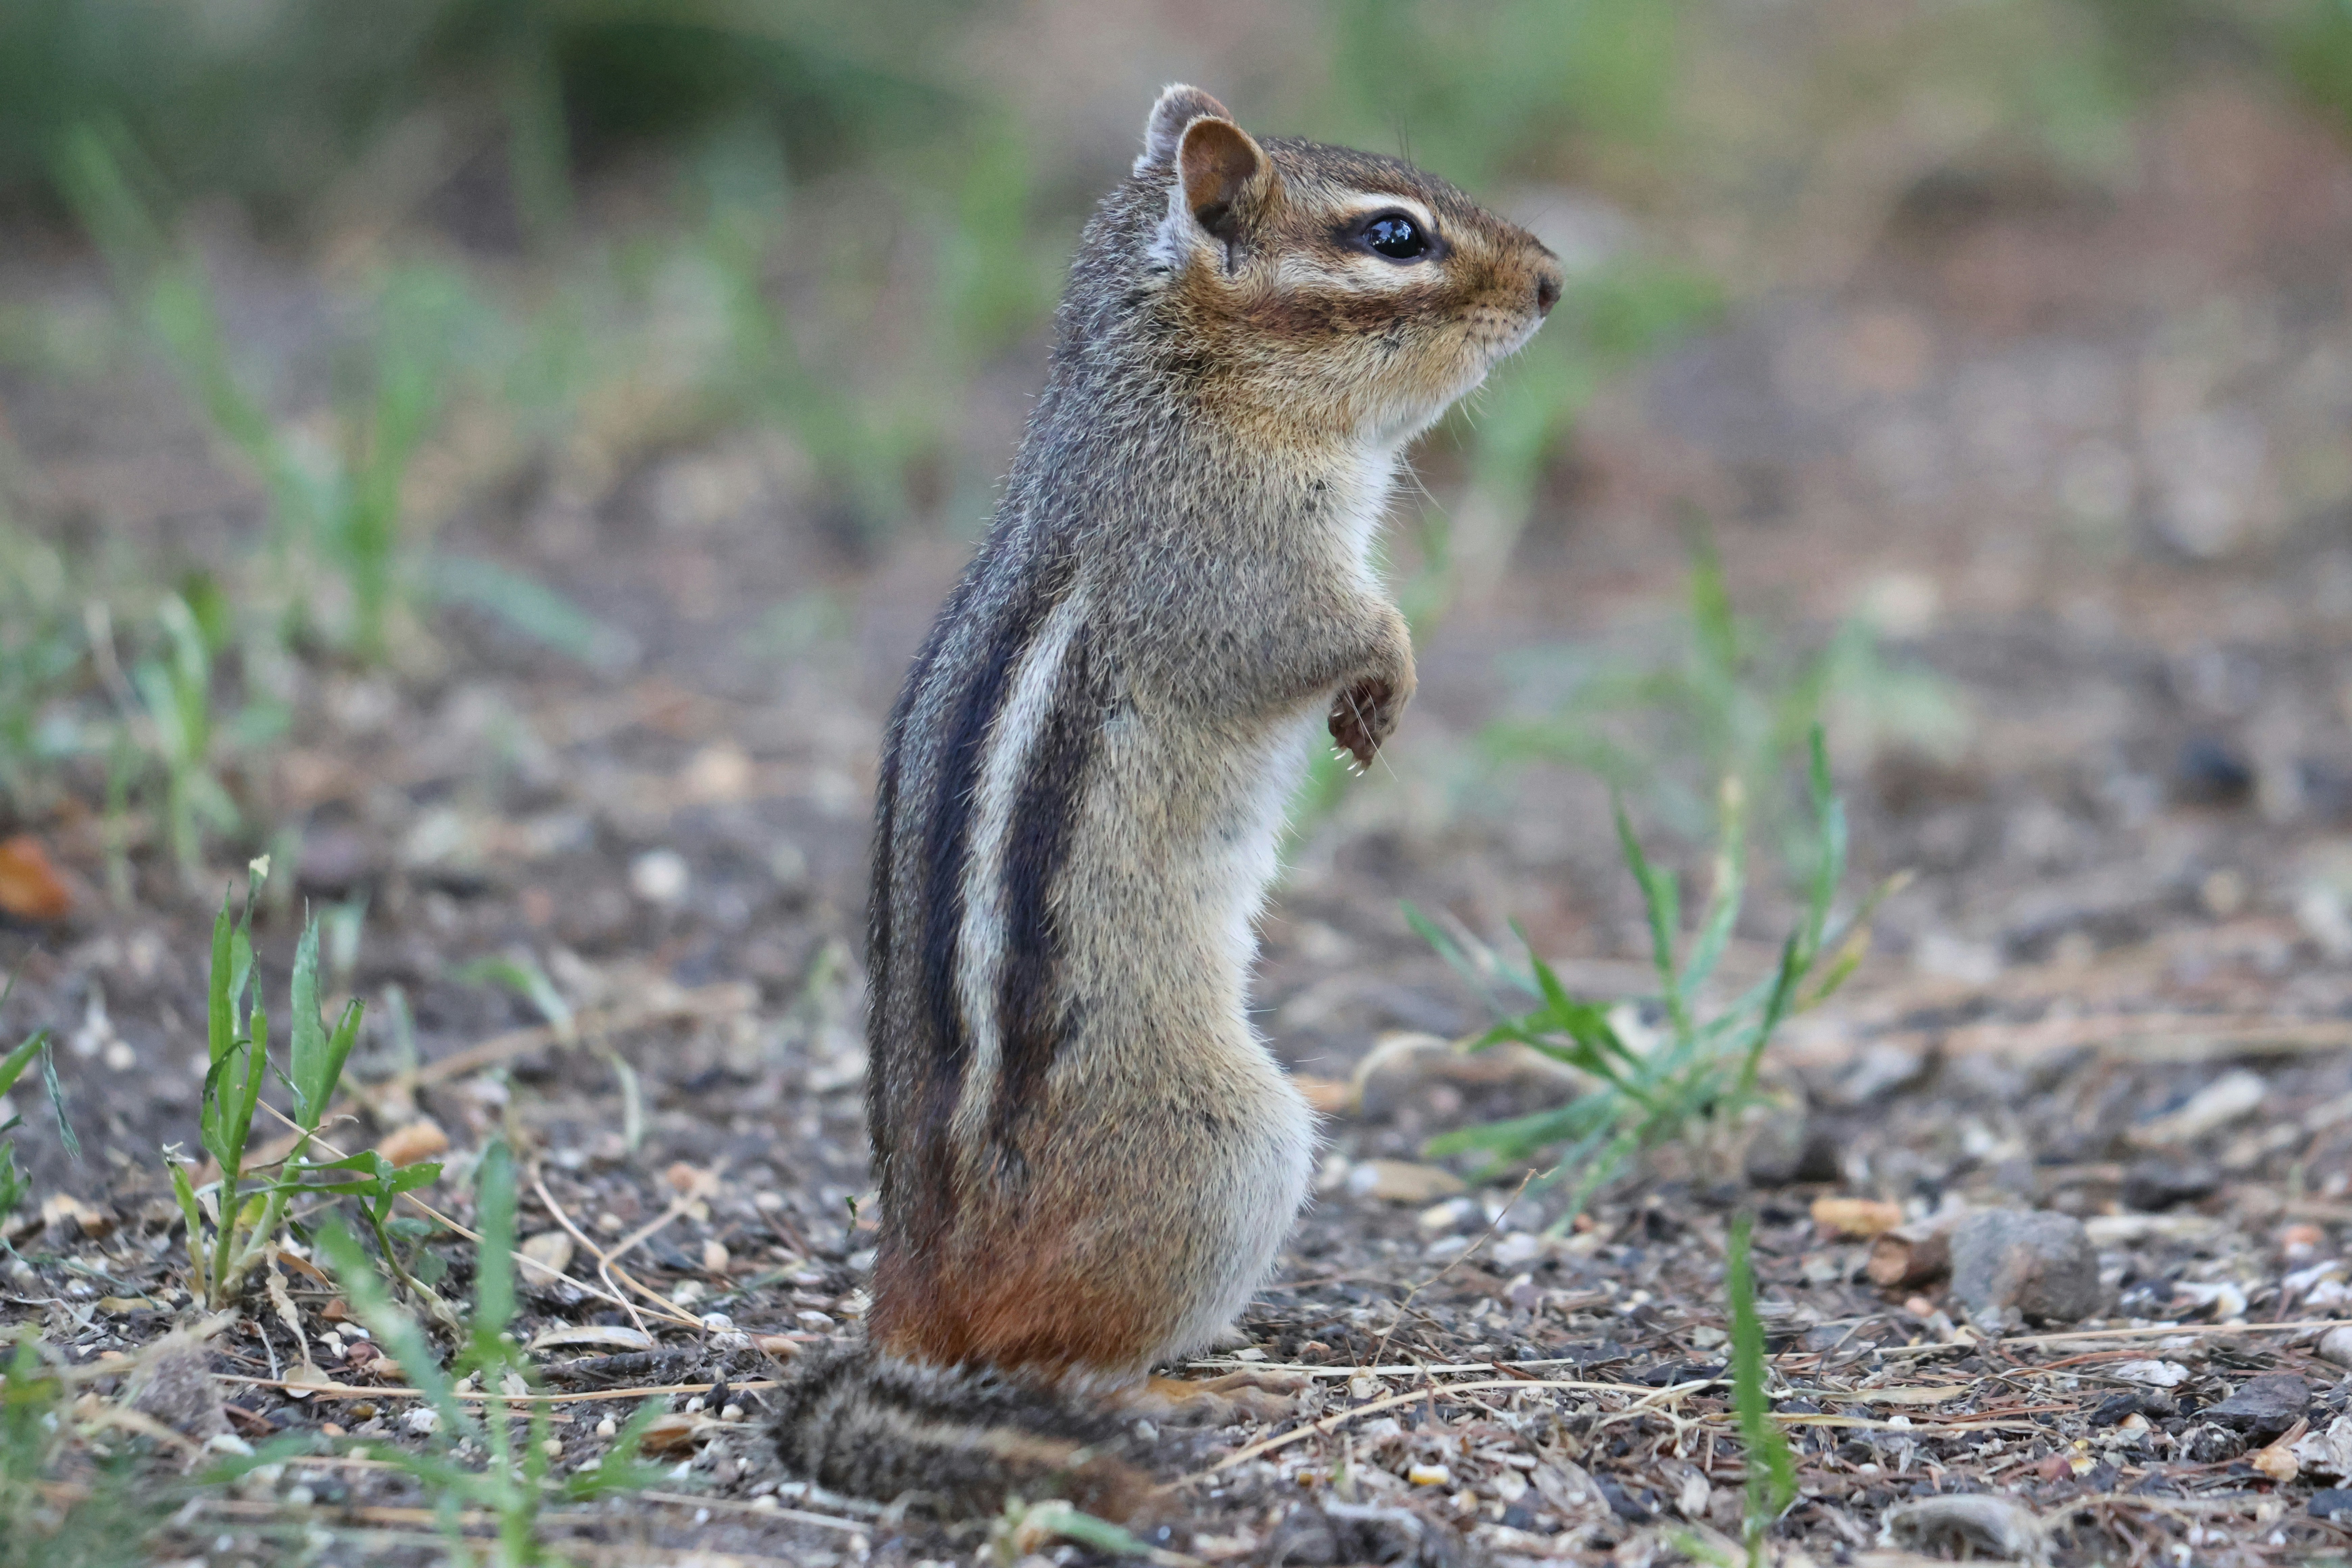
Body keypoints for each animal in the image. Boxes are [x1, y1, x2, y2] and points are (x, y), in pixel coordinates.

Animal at [775, 84, 1561, 1518]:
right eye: (1392, 235)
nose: (1551, 280)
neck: (1181, 387)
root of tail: (909, 1298)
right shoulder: (1238, 560)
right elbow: (1327, 628)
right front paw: (1387, 680)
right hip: (1233, 1149)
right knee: (1056, 1364)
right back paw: (1190, 1386)